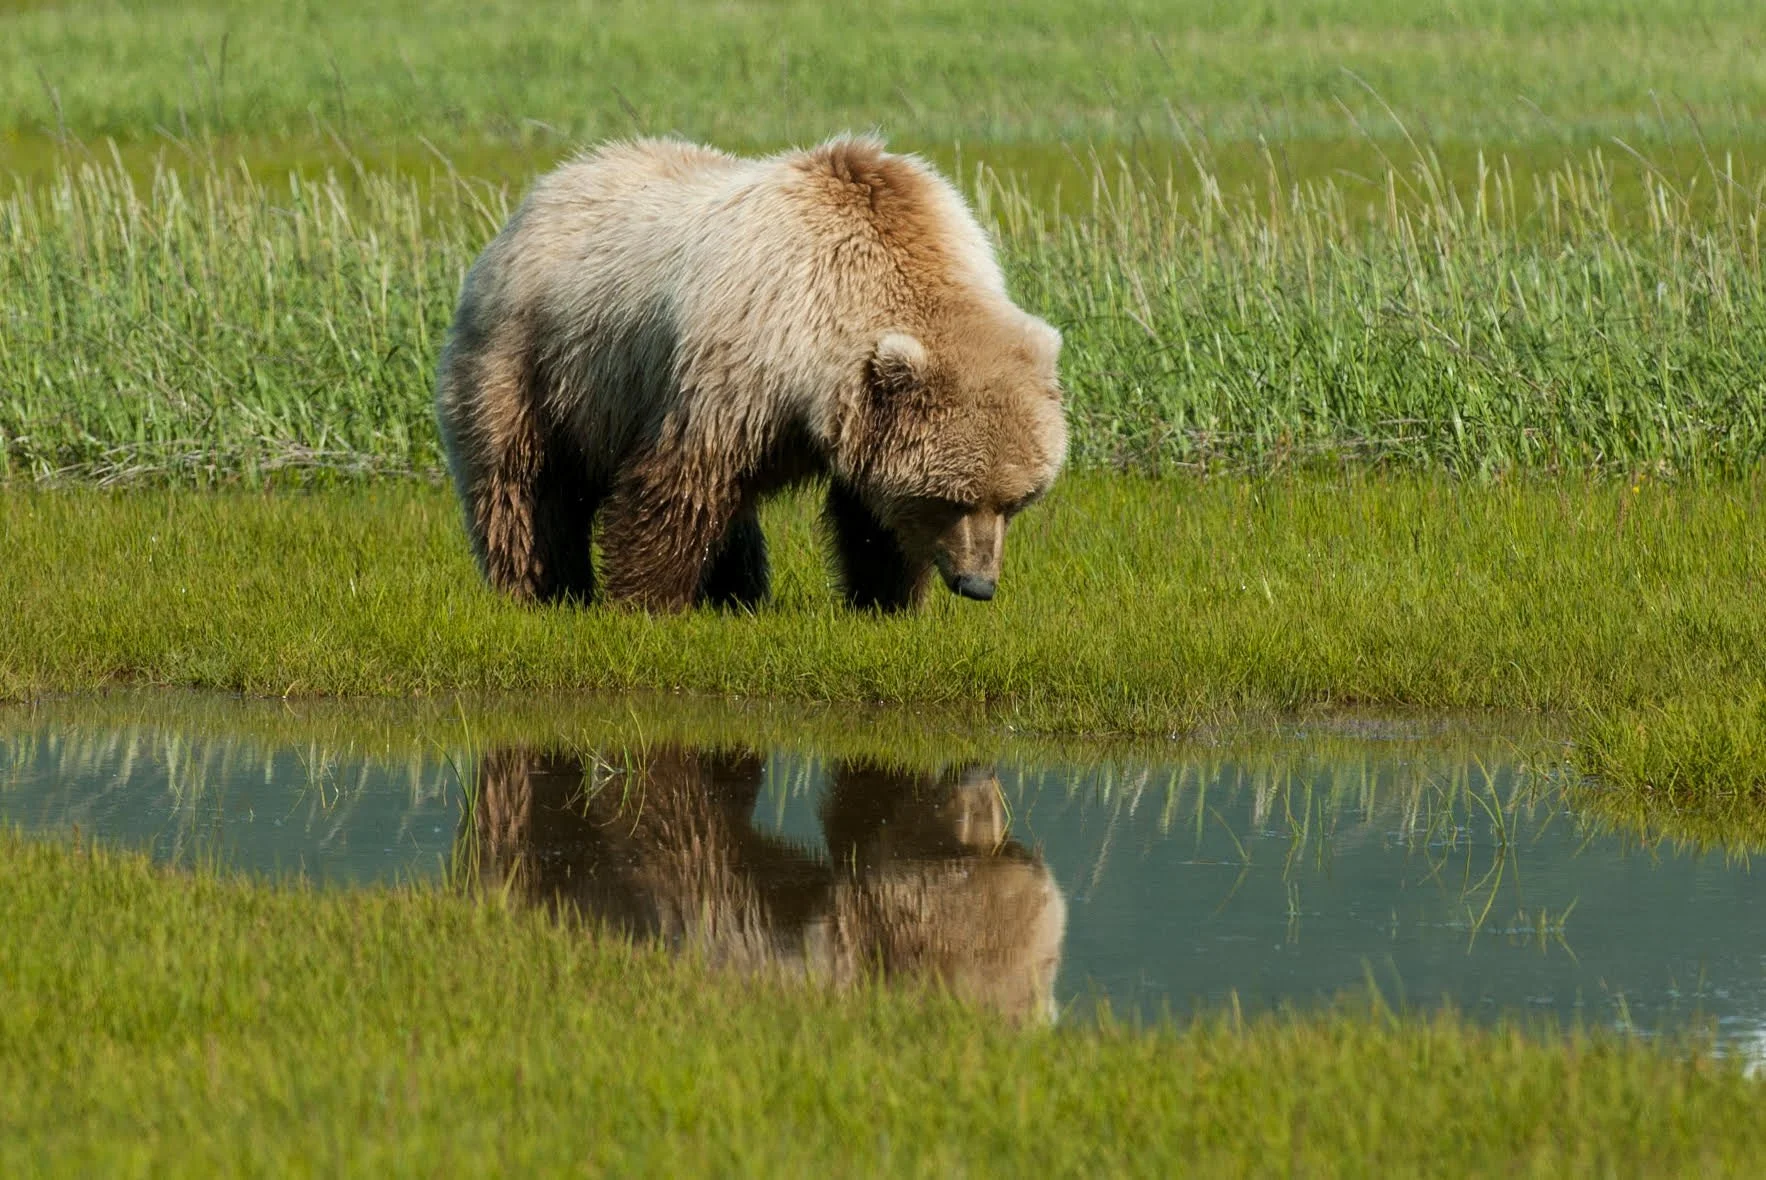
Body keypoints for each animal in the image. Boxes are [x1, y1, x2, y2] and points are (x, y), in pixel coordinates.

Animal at [434, 135, 1066, 612]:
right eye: (952, 498)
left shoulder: (850, 414)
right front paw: (646, 600)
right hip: (532, 359)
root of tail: (537, 197)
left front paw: (885, 600)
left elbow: (866, 513)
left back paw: (735, 590)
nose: (978, 584)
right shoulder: (736, 364)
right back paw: (540, 587)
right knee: (524, 480)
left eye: (1016, 501)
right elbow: (681, 481)